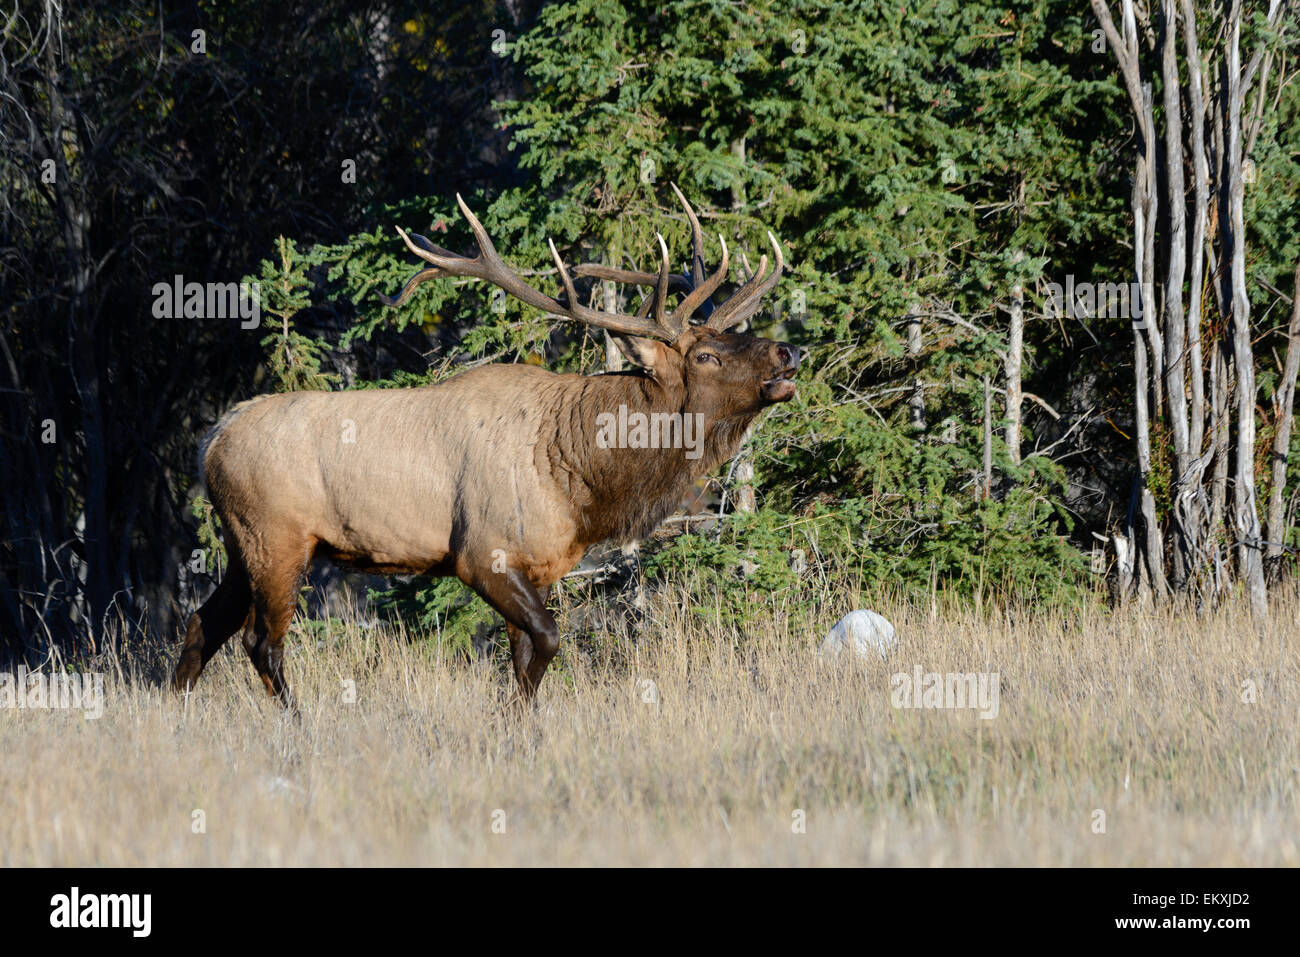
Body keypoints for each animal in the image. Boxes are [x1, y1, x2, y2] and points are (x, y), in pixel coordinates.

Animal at [171, 185, 801, 707]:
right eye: (706, 355)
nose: (786, 353)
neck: (581, 480)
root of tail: (210, 441)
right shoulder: (481, 554)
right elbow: (547, 640)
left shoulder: (539, 564)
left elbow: (525, 662)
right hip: (277, 536)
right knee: (260, 641)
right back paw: (298, 723)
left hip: (242, 544)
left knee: (203, 624)